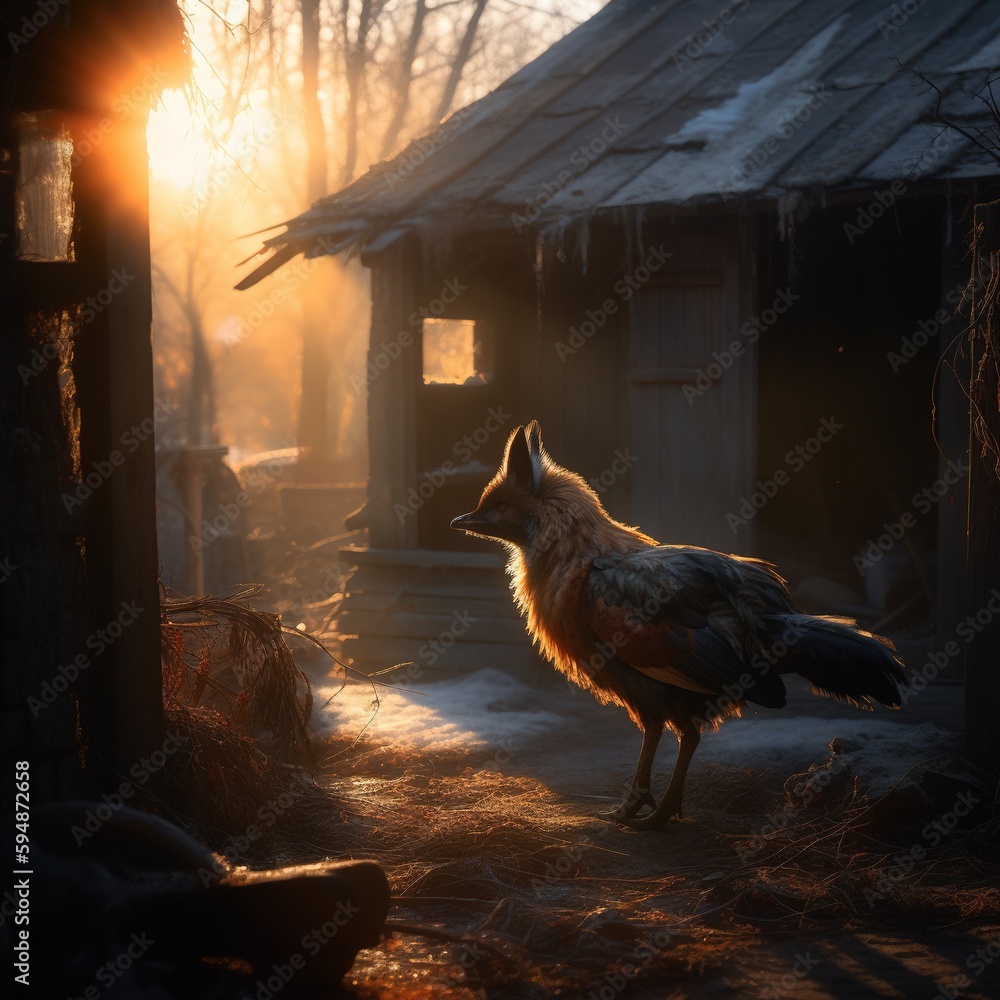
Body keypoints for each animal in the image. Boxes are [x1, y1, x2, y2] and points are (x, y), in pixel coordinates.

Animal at [451, 421, 905, 829]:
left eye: (500, 507)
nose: (459, 520)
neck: (574, 561)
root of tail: (764, 618)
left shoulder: (645, 688)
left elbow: (652, 740)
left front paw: (630, 809)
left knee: (689, 735)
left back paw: (659, 814)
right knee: (692, 735)